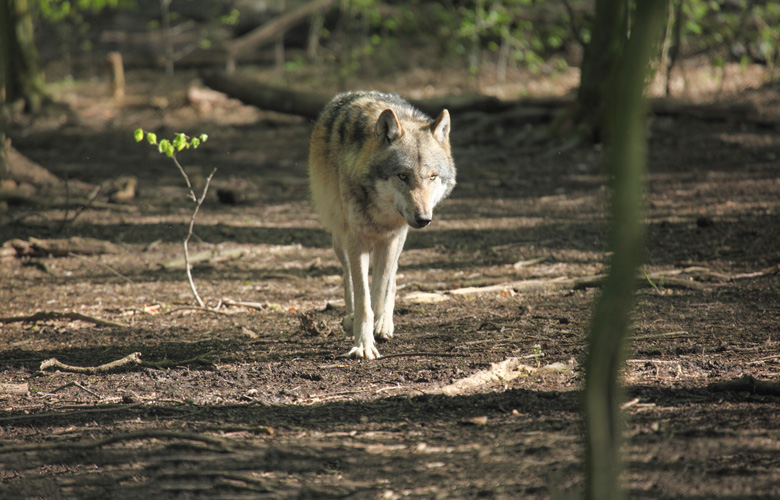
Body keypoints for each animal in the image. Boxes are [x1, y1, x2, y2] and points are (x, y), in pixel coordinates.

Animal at [309, 91, 456, 359]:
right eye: (402, 175)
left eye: (432, 177)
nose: (424, 219)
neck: (381, 213)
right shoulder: (356, 241)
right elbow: (362, 297)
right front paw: (363, 344)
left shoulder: (391, 238)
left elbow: (380, 291)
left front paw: (378, 327)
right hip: (340, 237)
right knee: (347, 277)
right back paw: (350, 319)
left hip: (398, 239)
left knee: (392, 279)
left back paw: (385, 323)